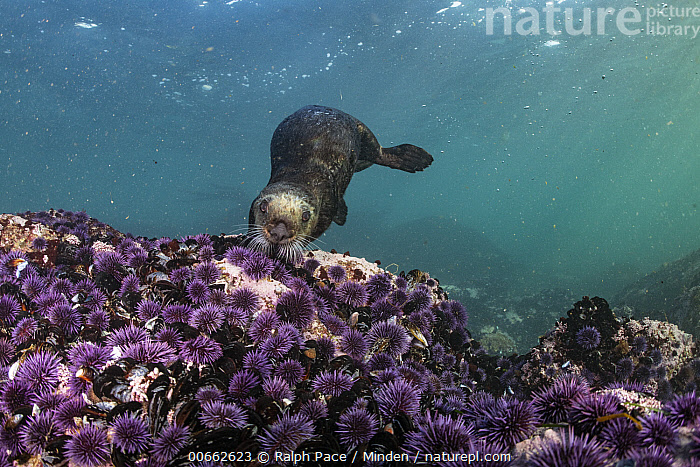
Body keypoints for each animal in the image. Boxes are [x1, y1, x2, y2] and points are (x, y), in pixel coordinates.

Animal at [248, 105, 433, 262]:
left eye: (305, 216)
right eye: (263, 207)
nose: (279, 232)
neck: (301, 173)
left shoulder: (326, 209)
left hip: (363, 131)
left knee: (379, 152)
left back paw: (414, 157)